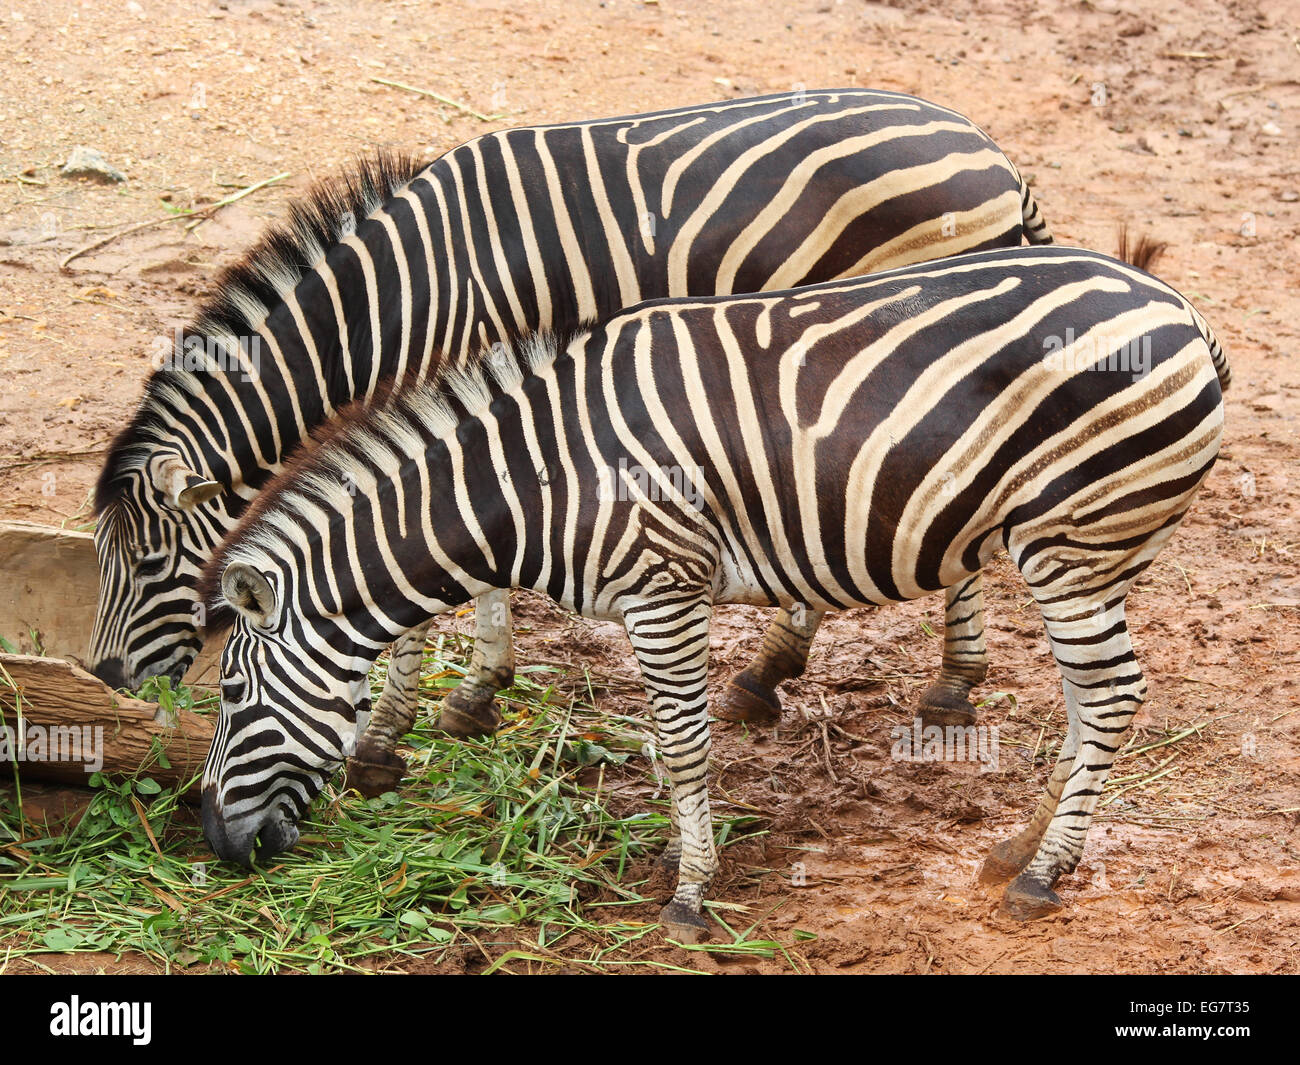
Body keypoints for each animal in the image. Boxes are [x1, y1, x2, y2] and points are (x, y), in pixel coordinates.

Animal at [88, 88, 1055, 795]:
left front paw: (395, 729)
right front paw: (475, 693)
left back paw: (949, 684)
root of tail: (990, 150)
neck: (391, 309)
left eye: (147, 565)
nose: (103, 678)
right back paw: (774, 670)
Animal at [197, 242, 1229, 940]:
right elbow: (666, 745)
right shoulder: (652, 601)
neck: (538, 481)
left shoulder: (663, 589)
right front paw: (676, 854)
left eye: (231, 691)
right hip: (1081, 552)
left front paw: (691, 893)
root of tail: (1179, 308)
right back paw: (1020, 846)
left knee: (1111, 698)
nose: (214, 842)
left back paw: (1042, 876)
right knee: (1085, 702)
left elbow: (687, 746)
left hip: (1076, 541)